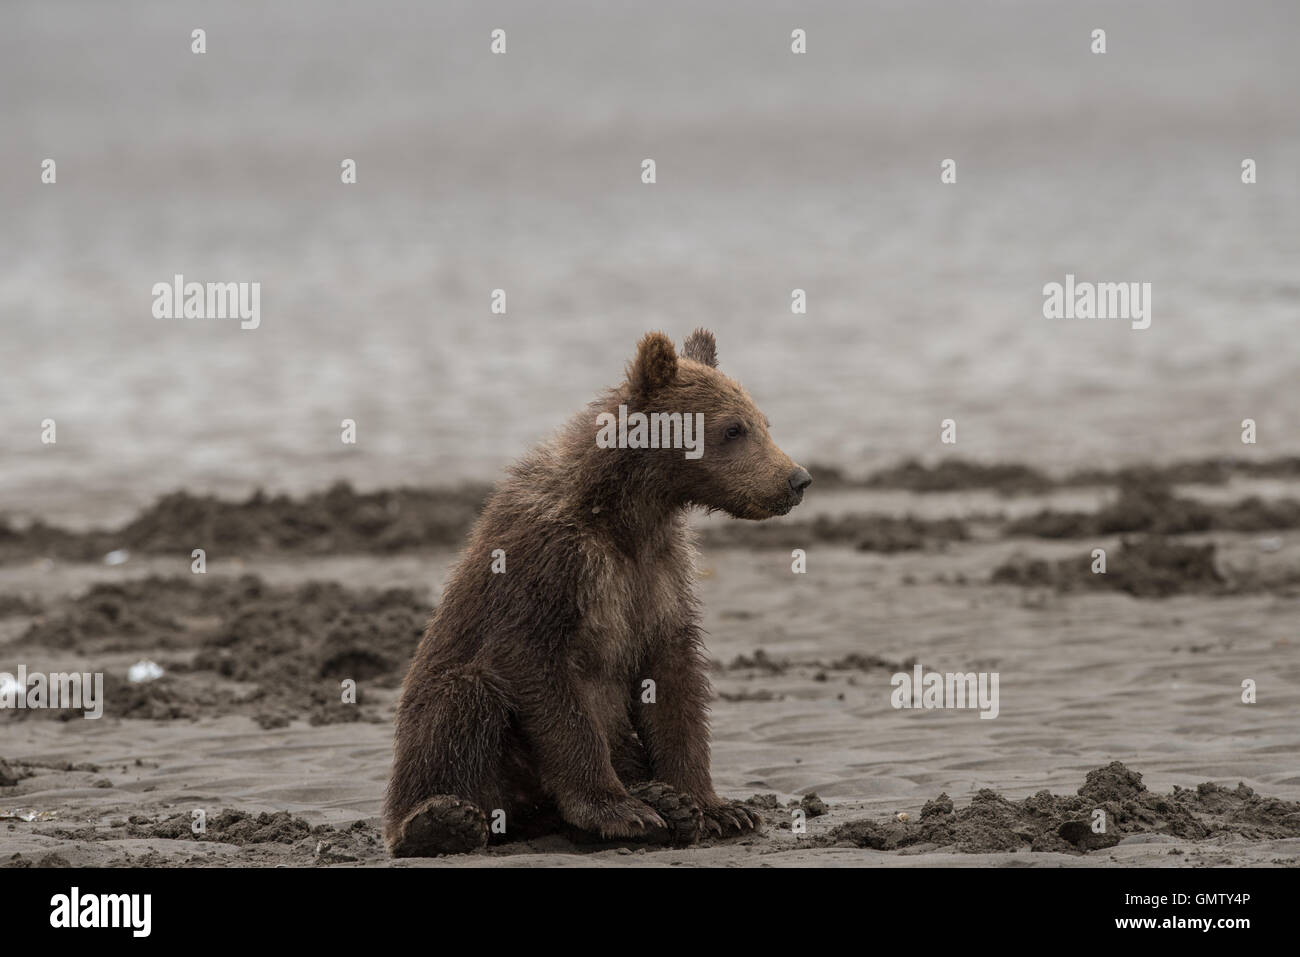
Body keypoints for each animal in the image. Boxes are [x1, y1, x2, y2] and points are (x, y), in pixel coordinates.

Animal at [383, 329, 812, 856]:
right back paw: (439, 821)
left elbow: (675, 681)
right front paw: (620, 811)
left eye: (763, 422)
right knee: (461, 702)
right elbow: (541, 673)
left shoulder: (661, 575)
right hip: (439, 739)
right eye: (734, 429)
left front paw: (717, 807)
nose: (797, 479)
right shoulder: (551, 564)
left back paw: (664, 801)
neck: (626, 516)